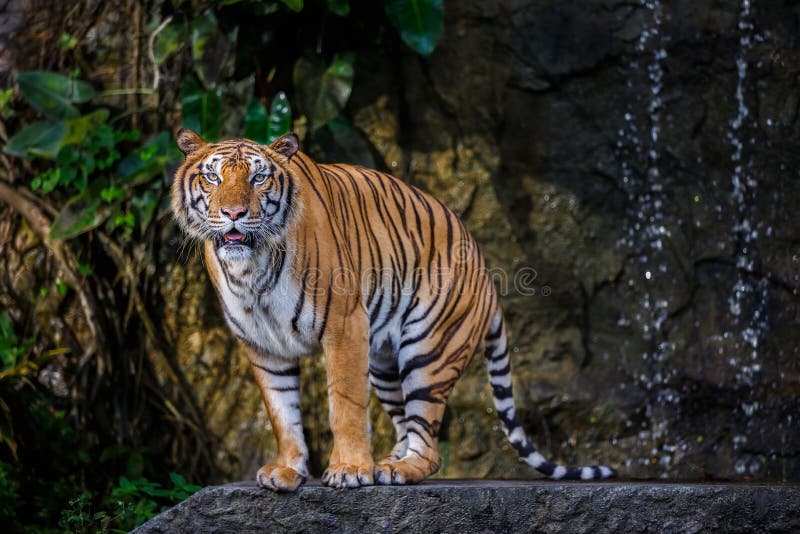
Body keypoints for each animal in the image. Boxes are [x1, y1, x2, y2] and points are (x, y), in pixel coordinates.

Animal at [171, 128, 616, 491]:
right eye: (213, 177)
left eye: (258, 178)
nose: (233, 214)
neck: (251, 267)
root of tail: (489, 275)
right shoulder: (263, 344)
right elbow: (281, 412)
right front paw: (288, 470)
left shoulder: (344, 325)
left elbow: (345, 405)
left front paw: (349, 470)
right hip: (384, 362)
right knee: (407, 425)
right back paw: (387, 463)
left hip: (429, 350)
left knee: (429, 443)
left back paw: (399, 470)